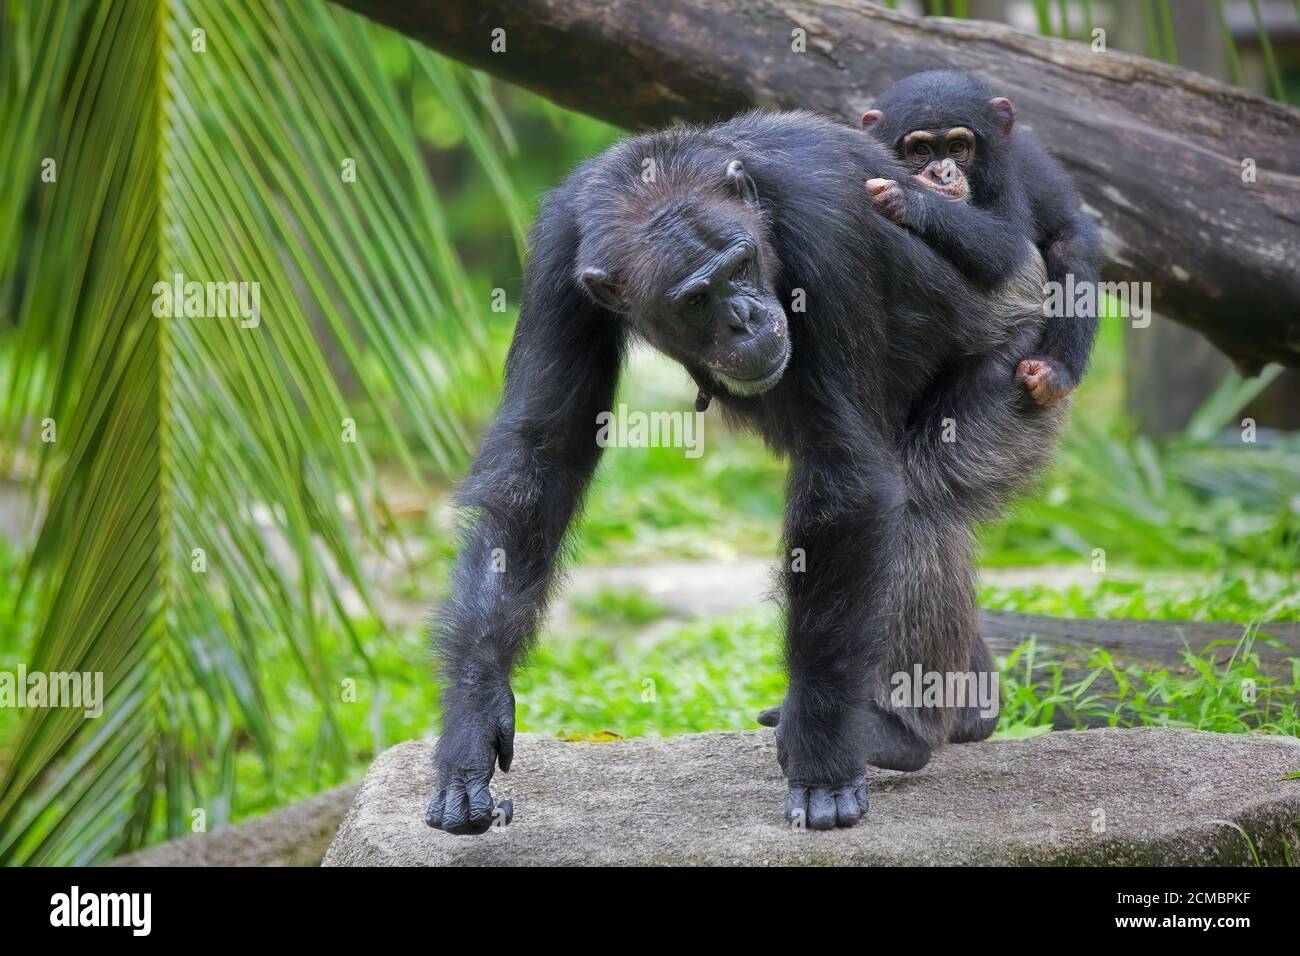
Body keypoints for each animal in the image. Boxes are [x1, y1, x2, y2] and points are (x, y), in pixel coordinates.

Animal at [423, 109, 1067, 835]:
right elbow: (541, 458)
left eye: (740, 264)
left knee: (923, 508)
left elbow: (845, 473)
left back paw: (899, 728)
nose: (744, 317)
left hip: (1024, 366)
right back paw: (973, 707)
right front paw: (472, 724)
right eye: (696, 299)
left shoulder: (825, 227)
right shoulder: (557, 259)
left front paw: (822, 758)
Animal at [860, 70, 1103, 407]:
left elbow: (1006, 243)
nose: (942, 173)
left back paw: (1055, 369)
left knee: (1070, 248)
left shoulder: (1002, 175)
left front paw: (907, 199)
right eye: (921, 150)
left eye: (957, 146)